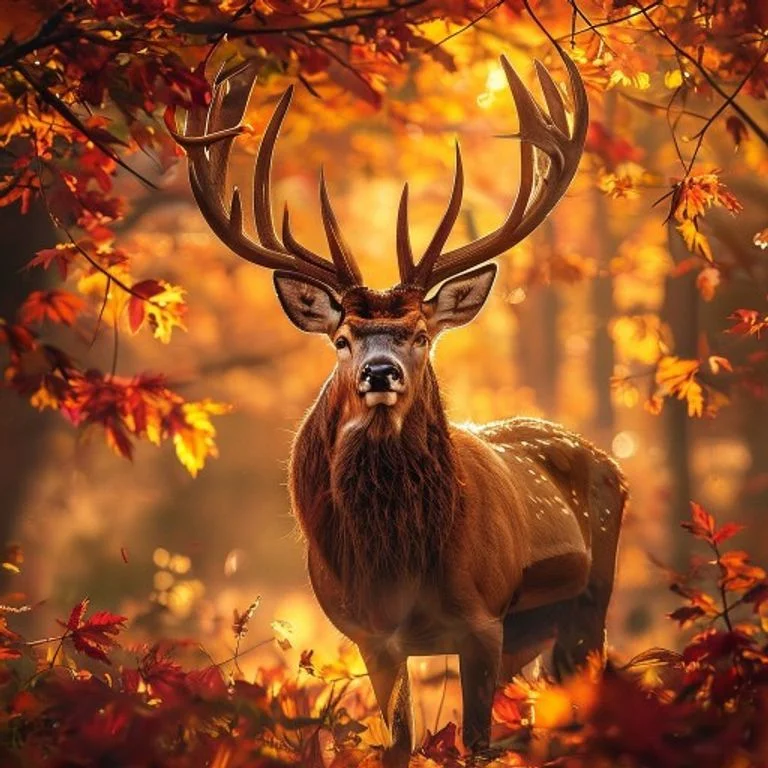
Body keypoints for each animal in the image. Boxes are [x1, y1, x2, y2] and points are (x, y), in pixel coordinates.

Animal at [172, 45, 627, 766]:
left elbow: (475, 743)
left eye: (420, 333)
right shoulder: (369, 634)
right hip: (537, 636)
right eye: (342, 337)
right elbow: (400, 744)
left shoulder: (483, 620)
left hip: (589, 601)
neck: (399, 563)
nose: (379, 372)